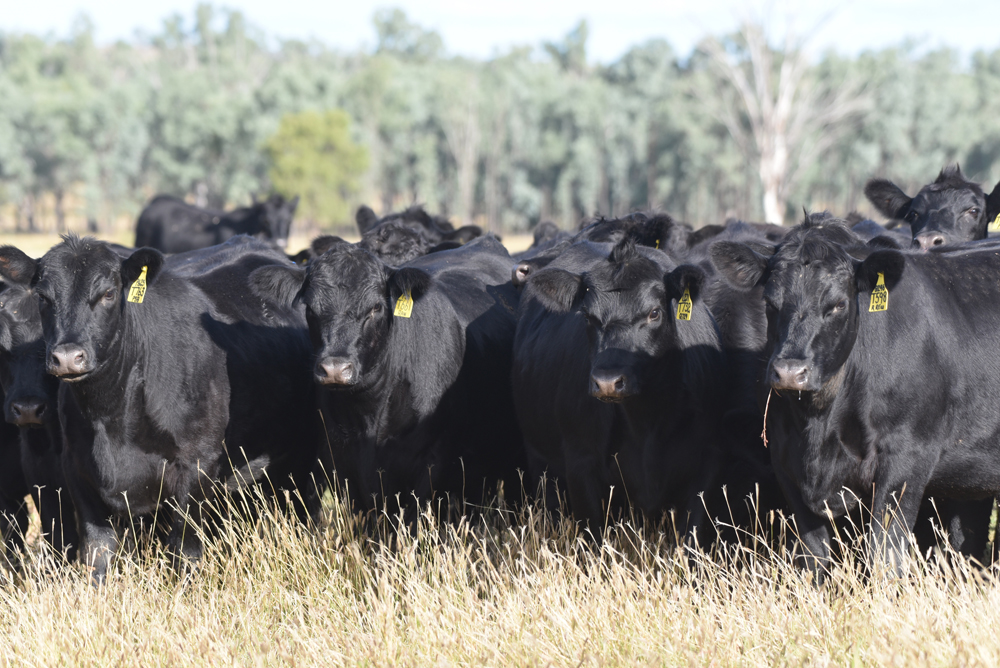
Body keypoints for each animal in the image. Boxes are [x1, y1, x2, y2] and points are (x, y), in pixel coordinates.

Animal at [32, 235, 322, 582]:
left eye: (108, 293)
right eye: (42, 297)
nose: (67, 357)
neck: (109, 418)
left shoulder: (197, 466)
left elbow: (185, 550)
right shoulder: (76, 469)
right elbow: (97, 554)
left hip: (302, 455)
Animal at [249, 235, 525, 516]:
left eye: (375, 307)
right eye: (310, 308)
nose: (335, 369)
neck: (369, 414)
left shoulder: (431, 466)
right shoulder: (342, 466)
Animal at [711, 213, 1000, 575]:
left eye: (837, 305)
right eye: (770, 303)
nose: (790, 372)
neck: (820, 422)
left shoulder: (906, 461)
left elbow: (884, 555)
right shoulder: (786, 464)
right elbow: (815, 559)